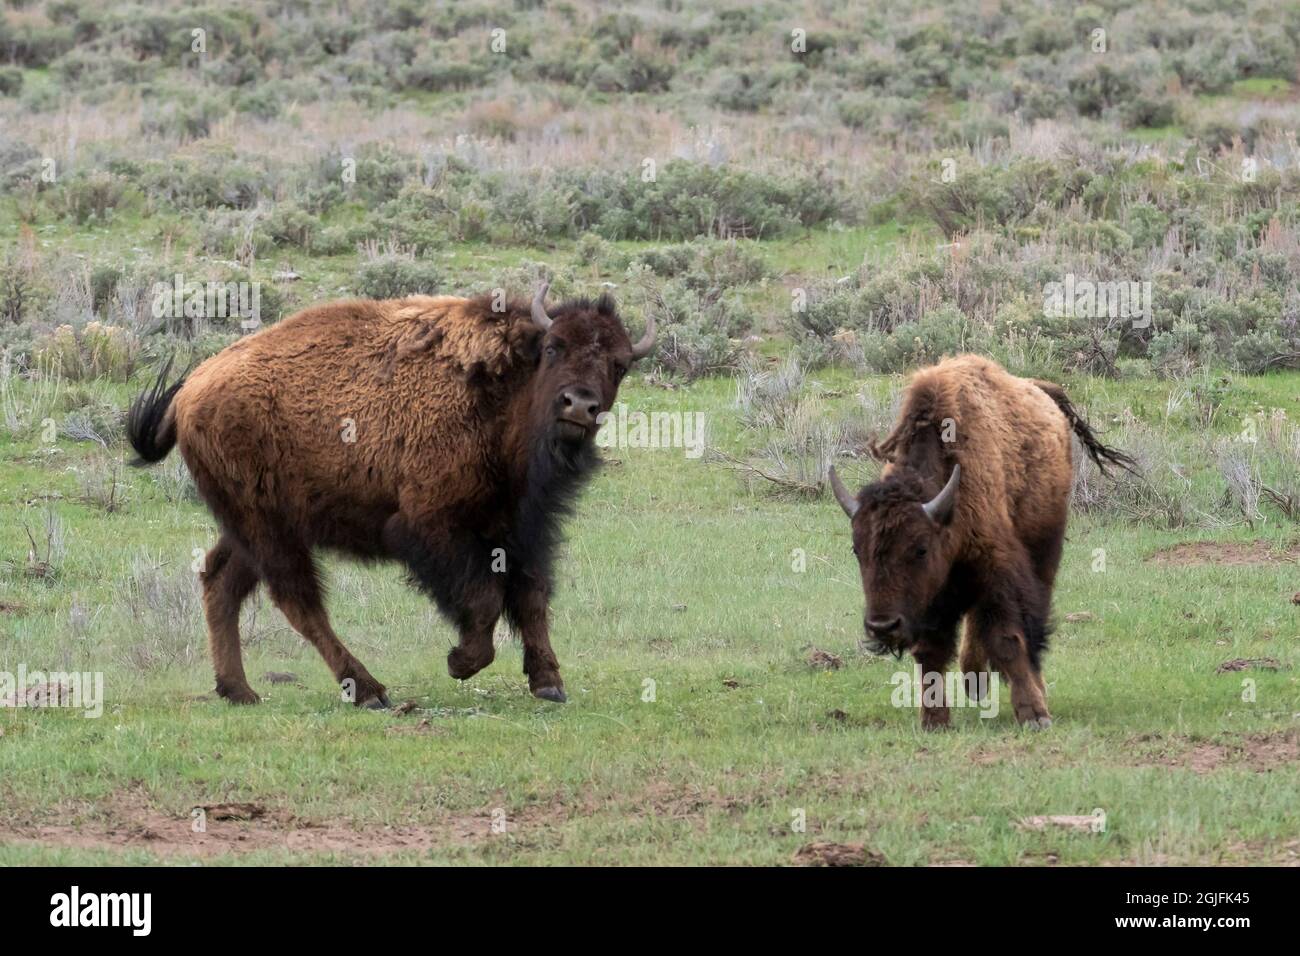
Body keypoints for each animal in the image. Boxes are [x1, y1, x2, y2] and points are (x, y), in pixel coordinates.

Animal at [127, 284, 654, 707]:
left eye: (620, 365)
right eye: (554, 347)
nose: (579, 406)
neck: (501, 394)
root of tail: (191, 391)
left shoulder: (524, 528)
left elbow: (532, 596)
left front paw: (548, 682)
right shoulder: (430, 525)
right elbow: (484, 598)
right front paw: (461, 661)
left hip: (252, 526)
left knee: (221, 581)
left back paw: (239, 691)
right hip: (268, 527)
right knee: (299, 600)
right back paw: (368, 691)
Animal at [829, 354, 1133, 729]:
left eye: (920, 548)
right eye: (857, 550)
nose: (882, 626)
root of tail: (1039, 390)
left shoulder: (996, 567)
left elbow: (1007, 638)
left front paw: (1034, 715)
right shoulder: (935, 597)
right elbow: (930, 651)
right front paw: (934, 720)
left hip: (1044, 551)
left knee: (1031, 623)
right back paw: (975, 680)